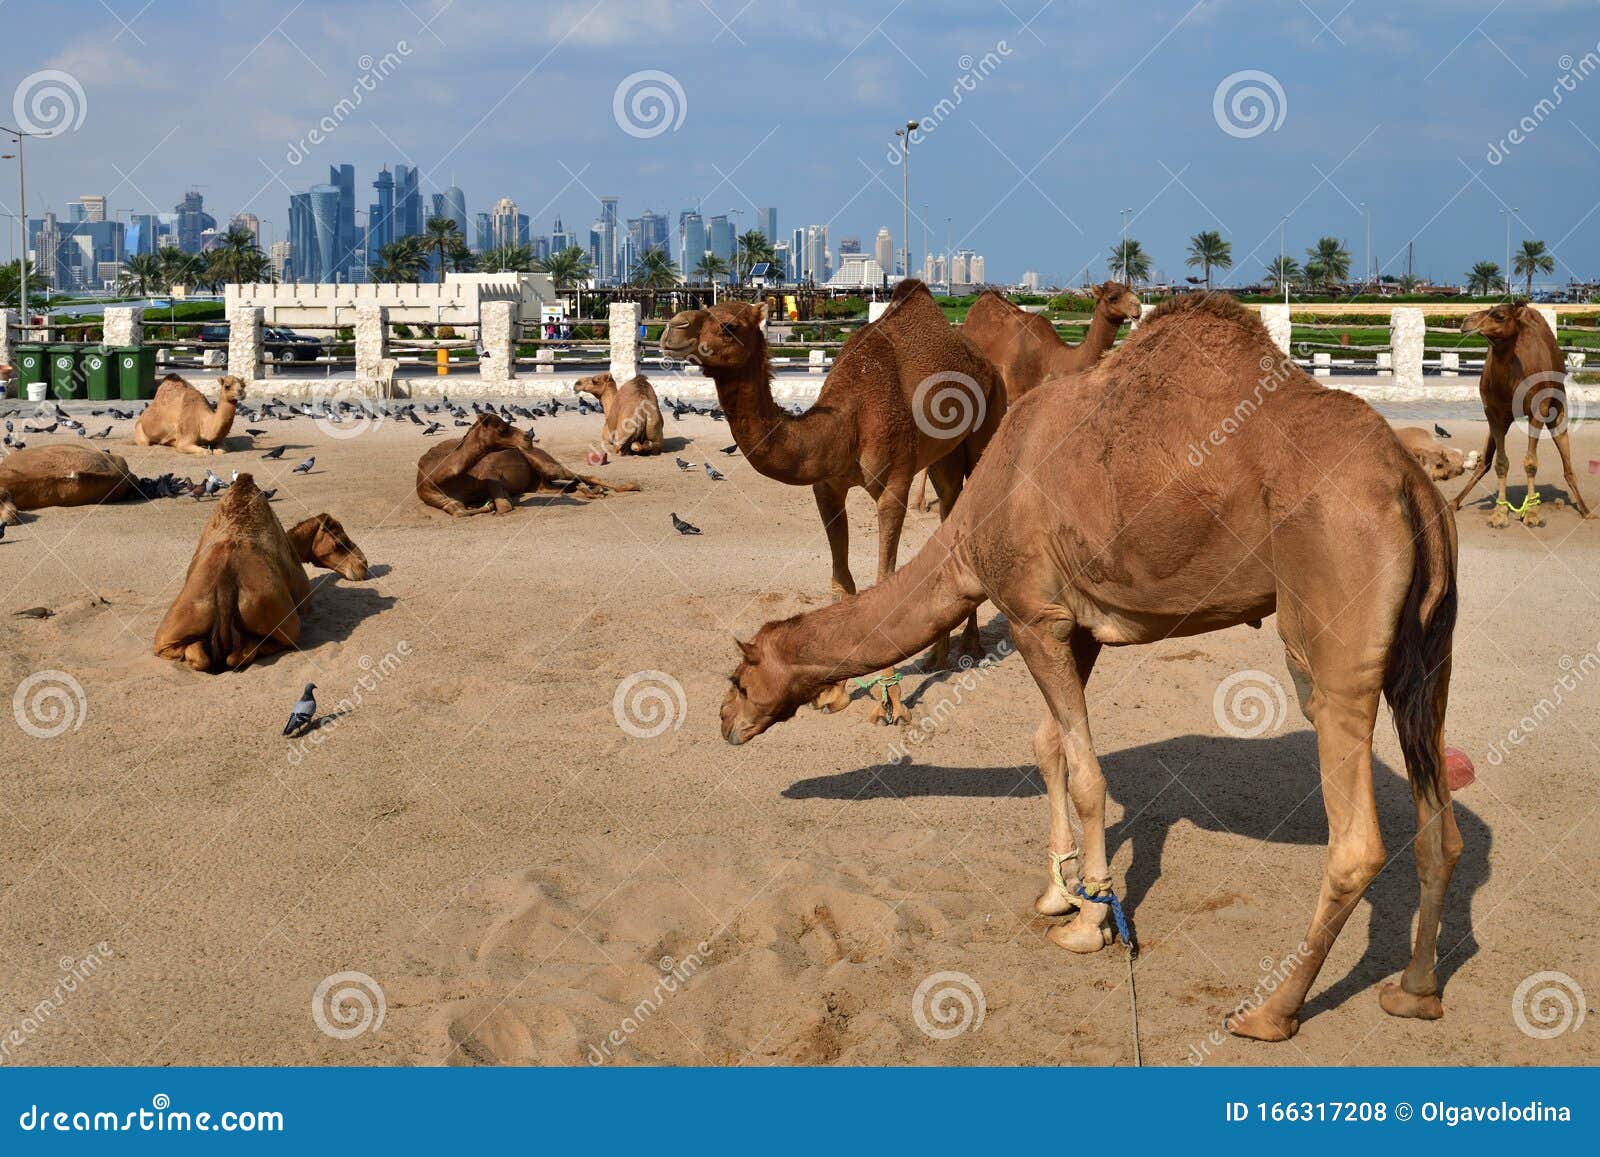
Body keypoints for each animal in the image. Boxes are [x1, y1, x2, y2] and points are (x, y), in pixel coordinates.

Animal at [153, 474, 369, 672]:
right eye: (339, 541)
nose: (363, 564)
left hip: (172, 629)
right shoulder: (304, 600)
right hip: (285, 620)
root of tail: (224, 585)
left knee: (197, 654)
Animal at [416, 413, 639, 517]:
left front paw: (491, 503)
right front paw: (486, 504)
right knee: (562, 487)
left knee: (579, 475)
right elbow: (459, 510)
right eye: (502, 428)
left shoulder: (492, 477)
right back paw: (592, 490)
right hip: (539, 484)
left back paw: (626, 486)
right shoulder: (437, 497)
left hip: (545, 463)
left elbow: (504, 506)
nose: (528, 437)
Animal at [660, 280, 1006, 724]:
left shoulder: (893, 485)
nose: (672, 329)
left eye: (729, 325)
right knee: (949, 506)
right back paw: (937, 654)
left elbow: (882, 586)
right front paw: (834, 693)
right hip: (943, 454)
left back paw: (971, 646)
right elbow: (843, 583)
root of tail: (983, 361)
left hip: (988, 422)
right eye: (702, 309)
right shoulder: (826, 488)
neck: (846, 421)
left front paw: (891, 702)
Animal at [720, 293, 1463, 1043]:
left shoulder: (1032, 616)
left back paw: (1269, 1011)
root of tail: (1411, 482)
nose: (725, 723)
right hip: (1428, 657)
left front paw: (1089, 922)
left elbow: (1085, 775)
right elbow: (1049, 745)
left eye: (739, 677)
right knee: (1440, 824)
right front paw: (1058, 891)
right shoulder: (1080, 621)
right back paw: (1416, 991)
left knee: (1355, 836)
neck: (971, 533)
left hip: (1331, 612)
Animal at [1450, 301, 1593, 527]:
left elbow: (1531, 462)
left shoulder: (1539, 409)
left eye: (1499, 316)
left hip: (1557, 408)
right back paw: (1453, 502)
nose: (1466, 322)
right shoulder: (1493, 412)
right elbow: (1500, 463)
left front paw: (1532, 514)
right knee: (1485, 461)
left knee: (1566, 460)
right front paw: (1499, 514)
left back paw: (1585, 510)